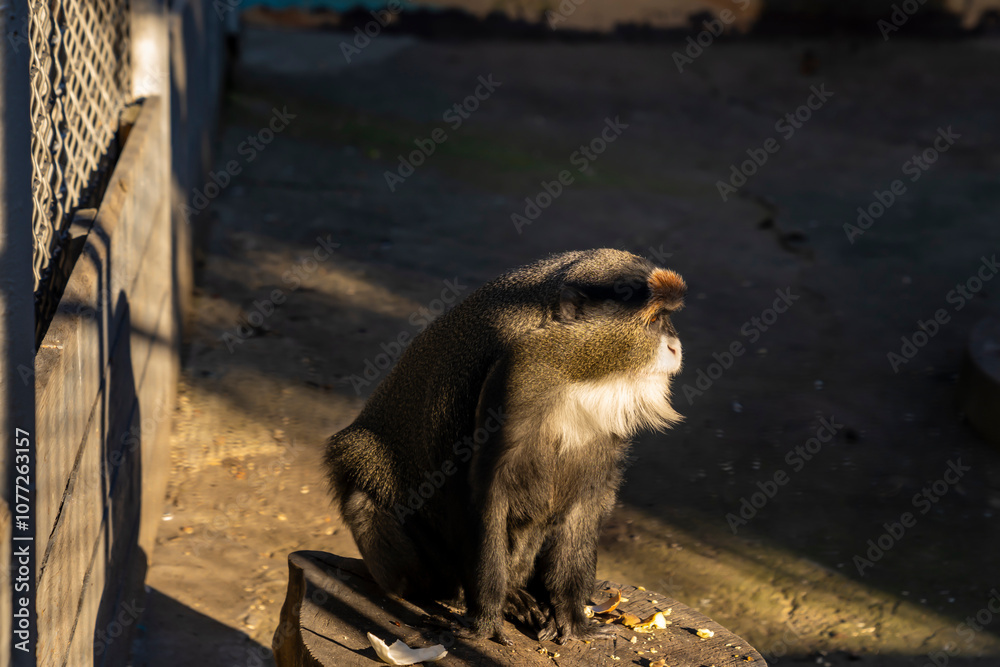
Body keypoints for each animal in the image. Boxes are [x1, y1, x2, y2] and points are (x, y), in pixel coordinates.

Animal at [324, 248, 686, 646]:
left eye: (667, 317)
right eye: (656, 319)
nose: (675, 345)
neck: (576, 370)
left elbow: (588, 502)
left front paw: (572, 617)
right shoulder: (518, 370)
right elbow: (487, 490)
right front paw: (486, 619)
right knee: (364, 501)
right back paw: (500, 597)